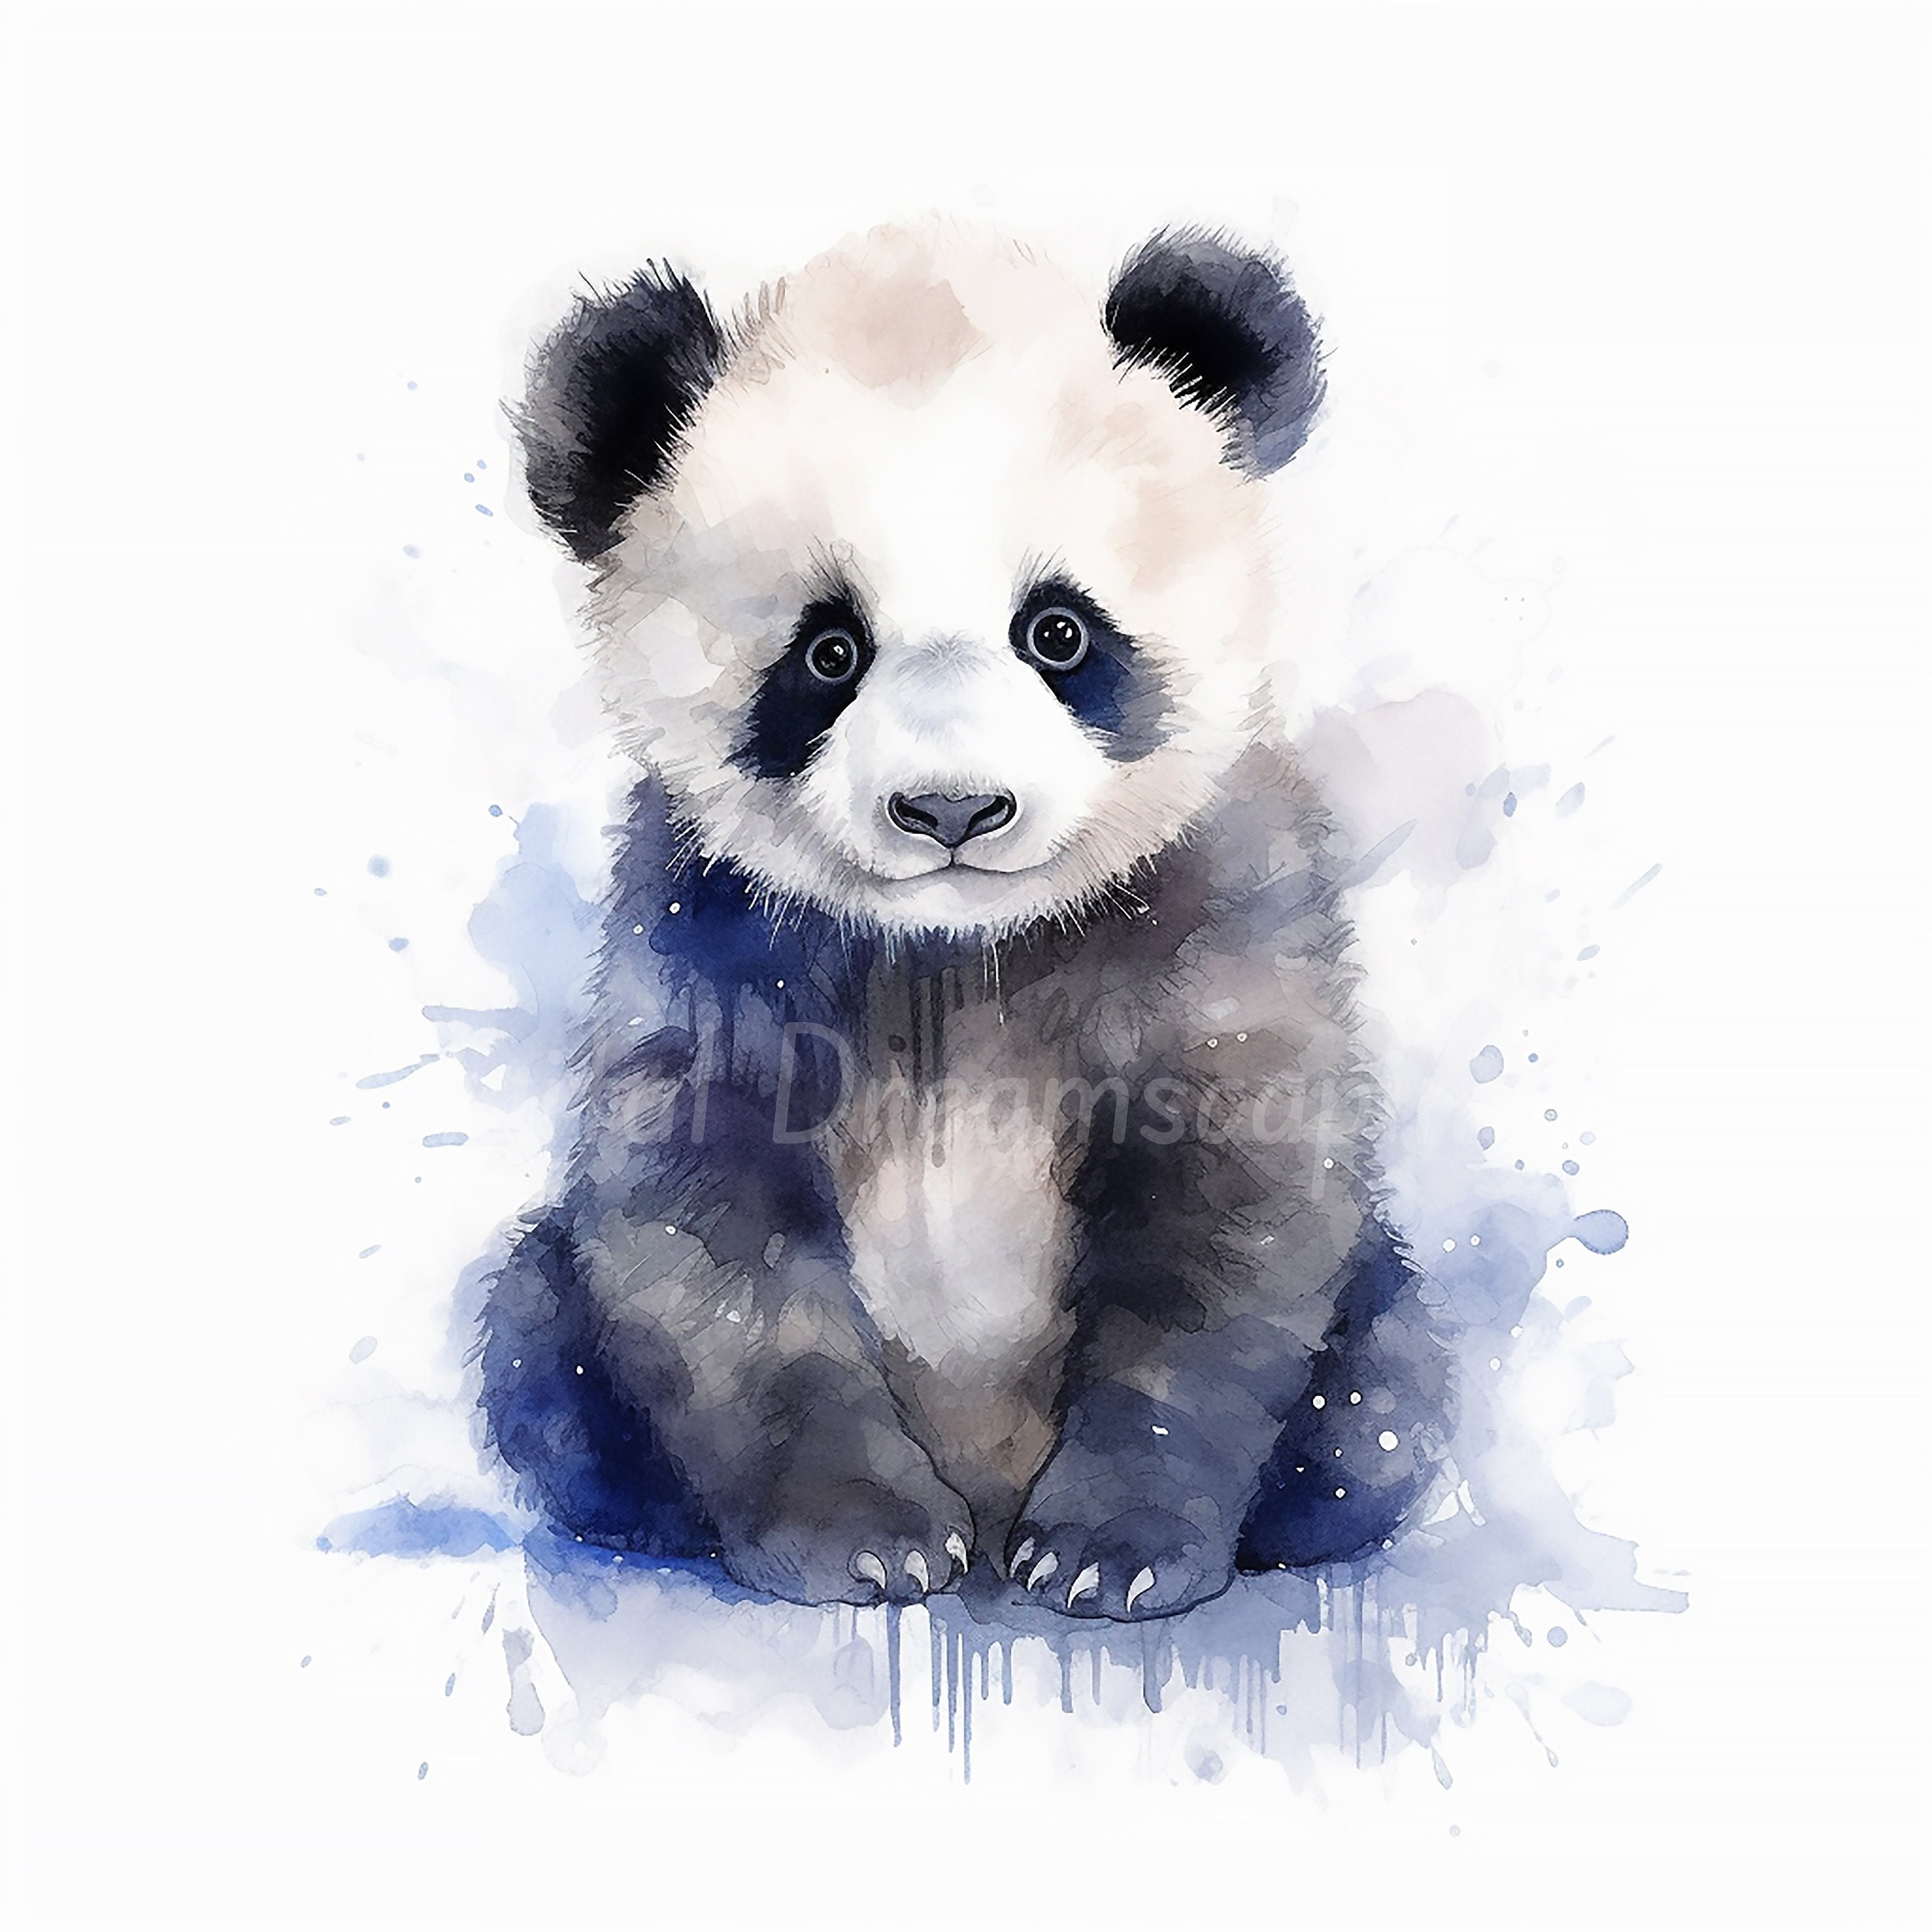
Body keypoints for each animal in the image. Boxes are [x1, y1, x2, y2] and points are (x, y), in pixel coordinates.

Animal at [477, 223, 1453, 1619]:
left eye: (1059, 632)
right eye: (828, 654)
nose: (951, 809)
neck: (956, 948)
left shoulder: (1213, 905)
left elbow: (1225, 1220)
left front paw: (1115, 1554)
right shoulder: (710, 932)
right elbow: (710, 1224)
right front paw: (863, 1540)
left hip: (1385, 1321)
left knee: (1389, 1396)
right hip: (549, 1315)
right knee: (534, 1349)